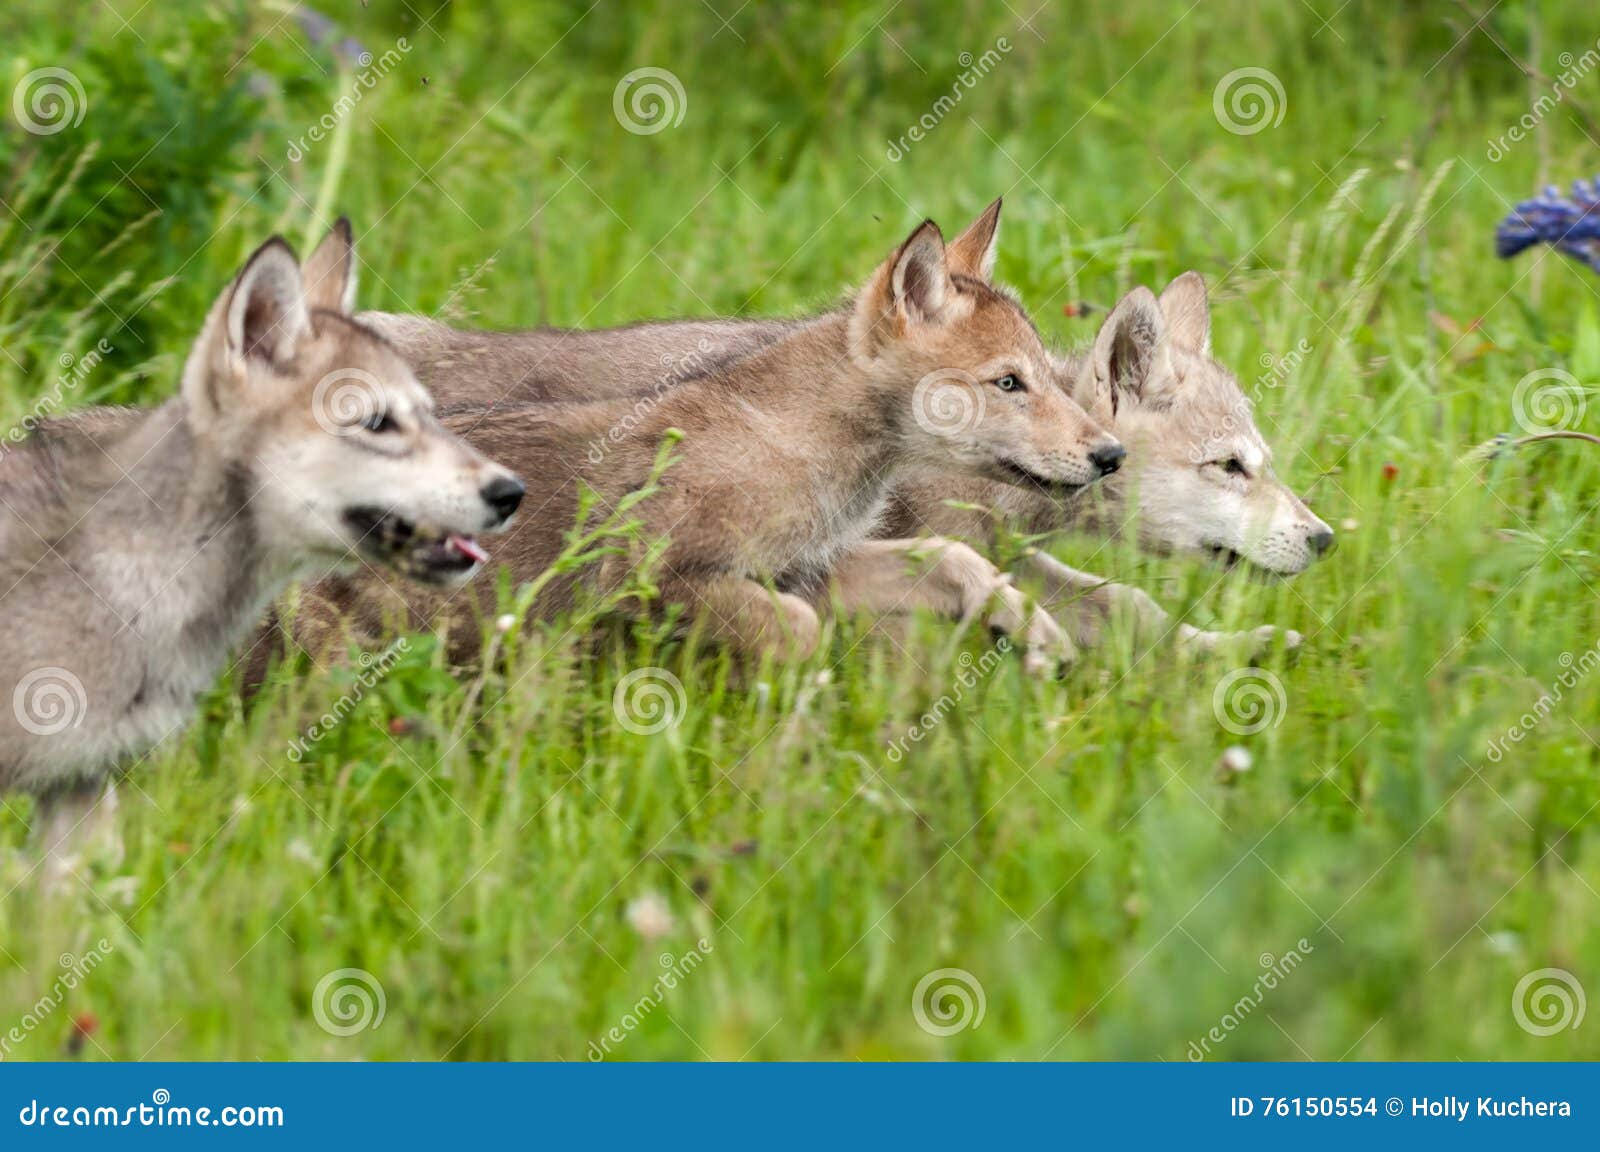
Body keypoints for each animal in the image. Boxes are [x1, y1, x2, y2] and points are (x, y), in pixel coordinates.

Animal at [285, 215, 1124, 670]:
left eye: (1046, 375)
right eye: (1009, 382)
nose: (1110, 454)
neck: (805, 441)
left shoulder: (809, 569)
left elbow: (959, 562)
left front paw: (1043, 638)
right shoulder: (664, 578)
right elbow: (801, 639)